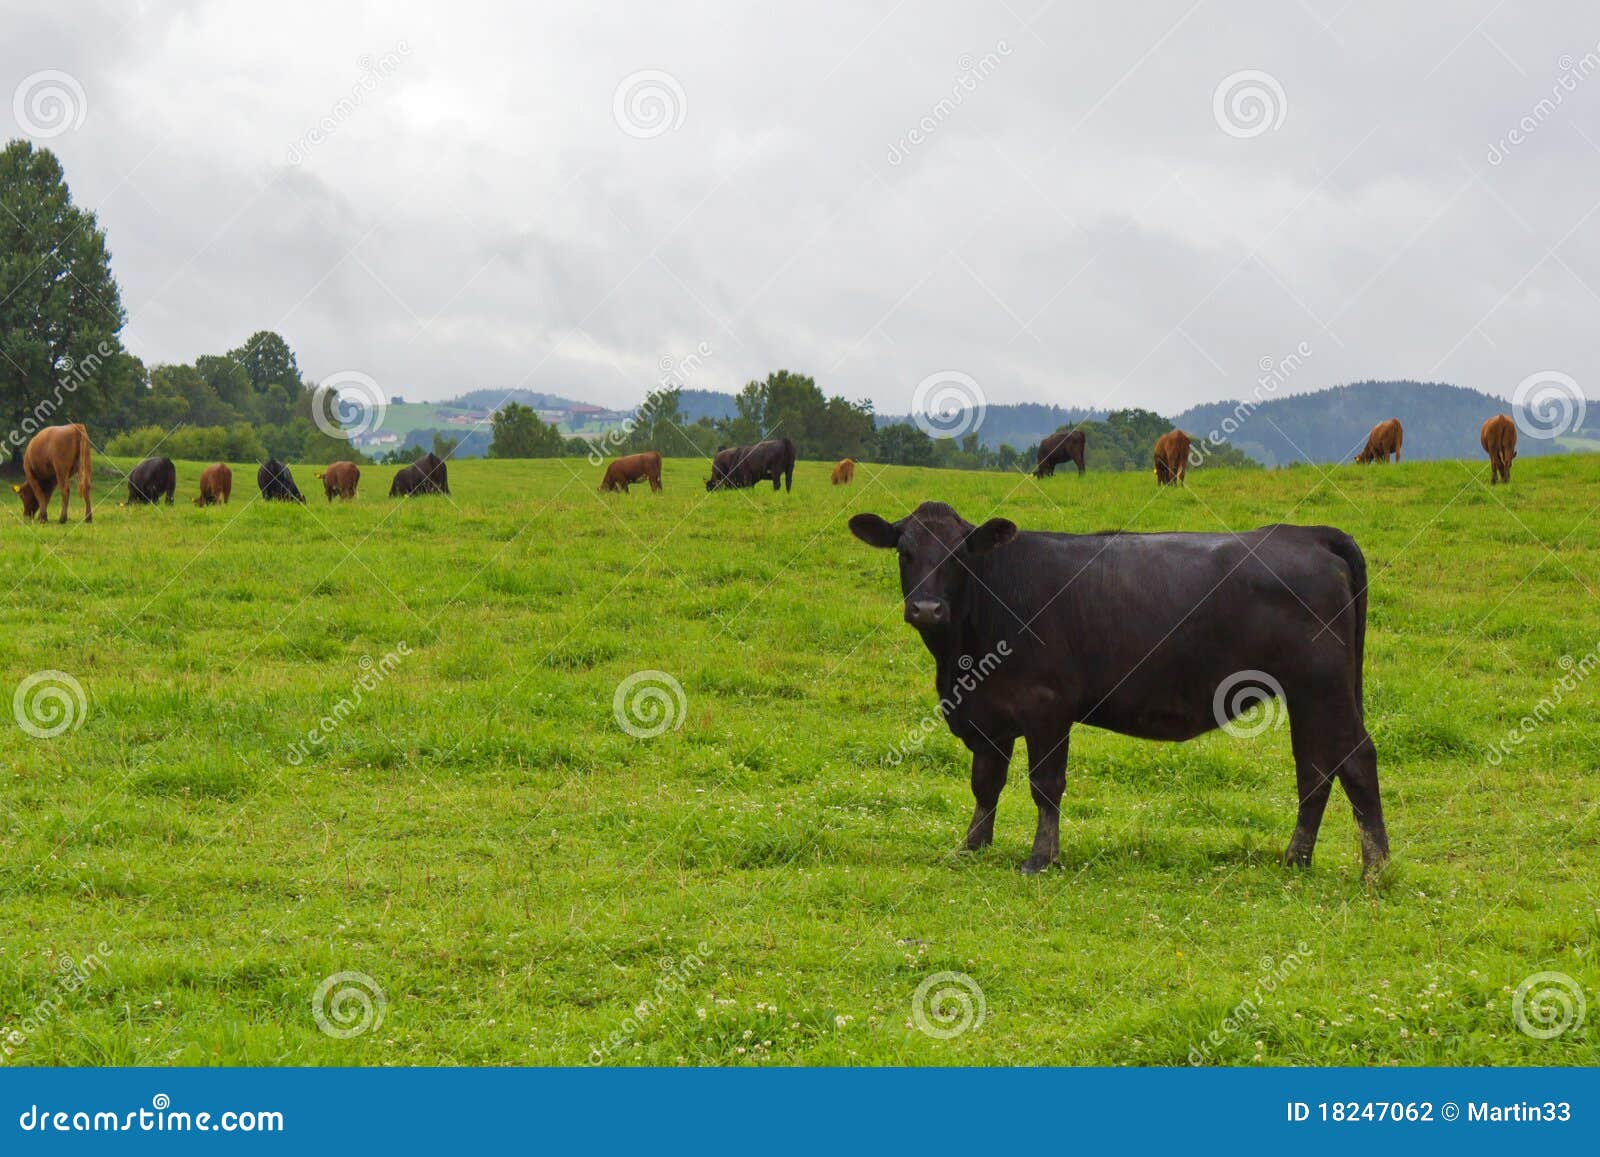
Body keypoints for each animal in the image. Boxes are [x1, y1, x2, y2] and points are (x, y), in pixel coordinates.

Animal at [849, 502, 1387, 877]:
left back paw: (1375, 868)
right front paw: (971, 847)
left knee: (1356, 758)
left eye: (960, 555)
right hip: (1308, 695)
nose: (926, 608)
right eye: (905, 551)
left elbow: (1045, 786)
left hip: (1324, 689)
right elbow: (985, 785)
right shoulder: (987, 717)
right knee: (1315, 768)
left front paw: (1041, 858)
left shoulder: (1047, 708)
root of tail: (1308, 534)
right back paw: (1297, 859)